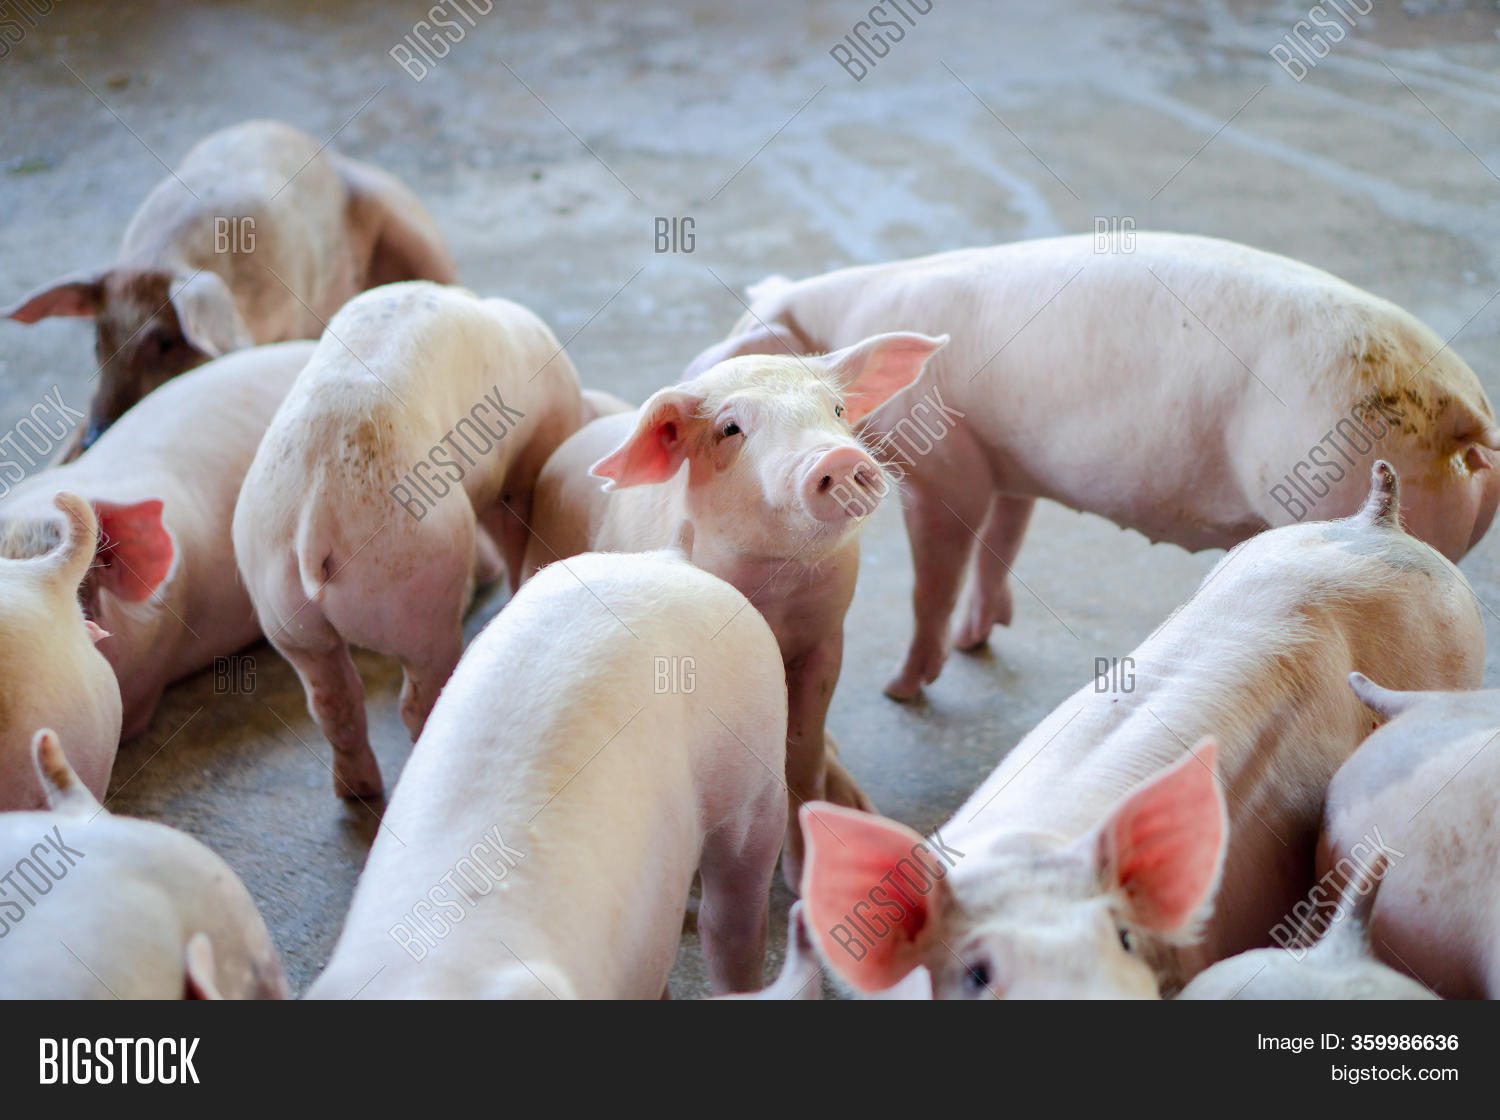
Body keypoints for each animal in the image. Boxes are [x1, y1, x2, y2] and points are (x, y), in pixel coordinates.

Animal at [234, 282, 588, 799]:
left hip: (279, 602)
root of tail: (315, 517)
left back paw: (357, 790)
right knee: (417, 698)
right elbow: (514, 526)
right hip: (418, 585)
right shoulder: (521, 467)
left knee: (333, 702)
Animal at [523, 331, 948, 887]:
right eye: (731, 428)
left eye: (836, 409)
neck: (776, 586)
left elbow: (804, 750)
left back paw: (860, 804)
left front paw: (799, 875)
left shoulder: (826, 640)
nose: (834, 456)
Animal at [688, 234, 1500, 699]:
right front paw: (977, 639)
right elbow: (1003, 542)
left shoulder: (948, 462)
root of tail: (1465, 409)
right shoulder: (1007, 463)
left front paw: (898, 689)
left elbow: (934, 579)